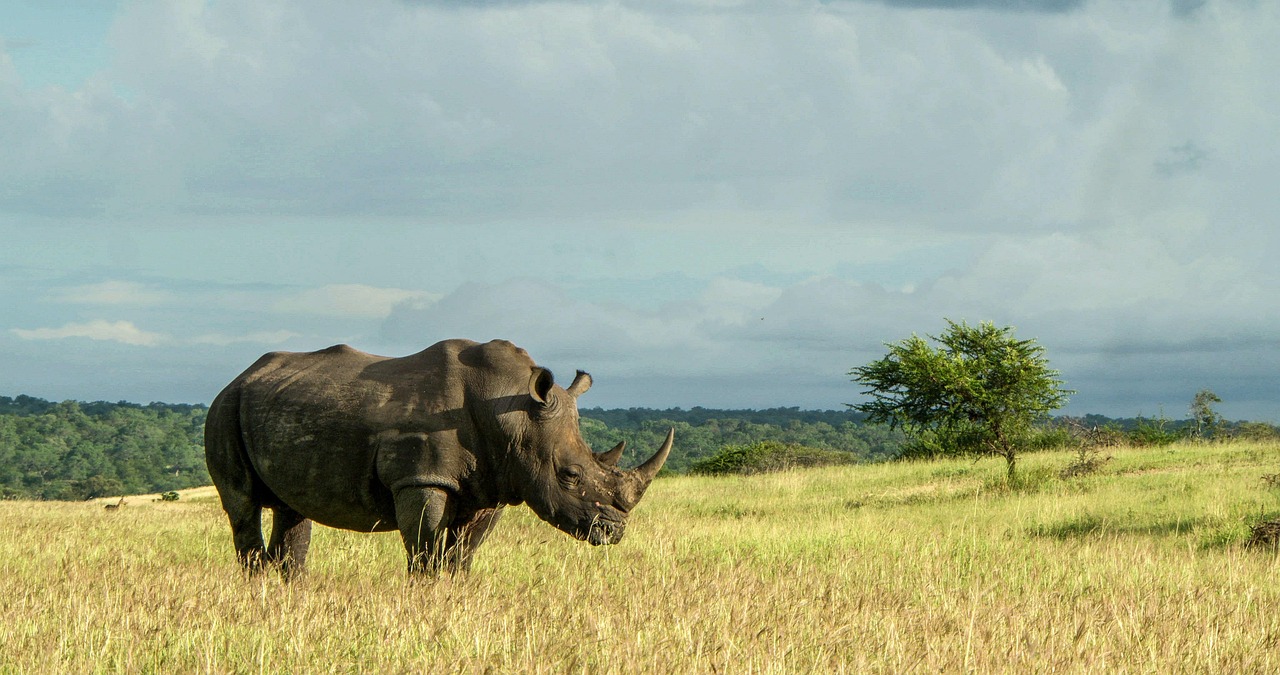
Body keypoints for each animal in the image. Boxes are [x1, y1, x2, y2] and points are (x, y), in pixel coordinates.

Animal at [204, 338, 673, 577]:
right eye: (570, 475)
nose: (614, 532)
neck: (514, 414)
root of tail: (241, 375)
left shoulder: (495, 481)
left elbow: (462, 554)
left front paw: (454, 593)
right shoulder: (421, 478)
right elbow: (425, 550)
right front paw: (425, 597)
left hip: (273, 402)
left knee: (291, 509)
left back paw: (291, 591)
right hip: (224, 409)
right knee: (243, 505)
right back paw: (259, 587)